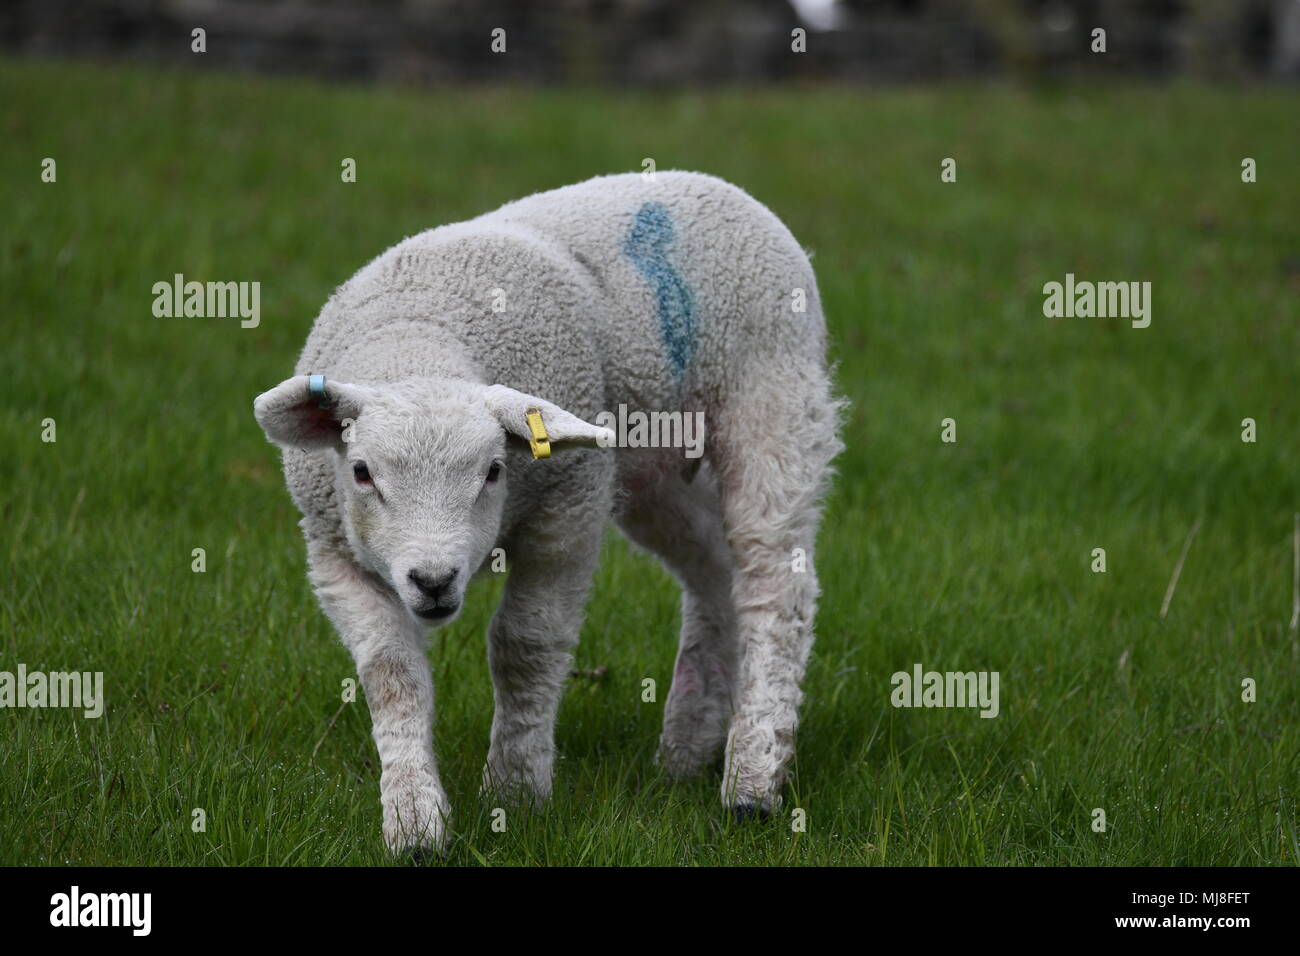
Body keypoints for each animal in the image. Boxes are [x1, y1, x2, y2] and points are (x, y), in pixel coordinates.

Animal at [253, 171, 844, 854]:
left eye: (494, 470)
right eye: (361, 472)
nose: (433, 581)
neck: (416, 339)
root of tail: (711, 183)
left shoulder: (569, 503)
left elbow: (524, 646)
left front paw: (514, 790)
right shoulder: (332, 547)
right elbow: (391, 673)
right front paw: (414, 821)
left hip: (773, 398)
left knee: (774, 582)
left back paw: (752, 778)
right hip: (649, 466)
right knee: (714, 570)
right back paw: (686, 750)